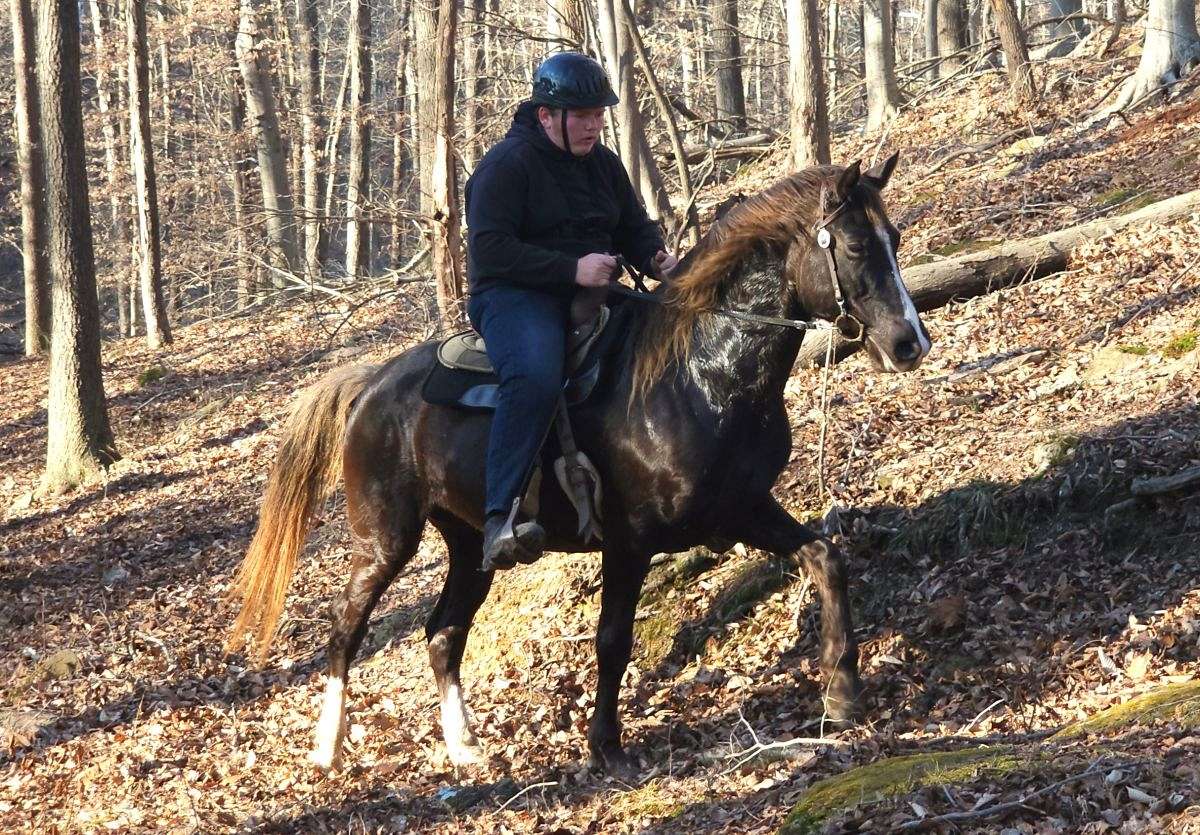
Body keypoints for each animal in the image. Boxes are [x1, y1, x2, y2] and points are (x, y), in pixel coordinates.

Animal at [226, 155, 931, 775]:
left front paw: (842, 693)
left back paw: (463, 749)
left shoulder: (743, 509)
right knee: (344, 632)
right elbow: (613, 640)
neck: (700, 373)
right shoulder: (631, 541)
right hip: (383, 541)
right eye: (856, 247)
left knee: (443, 634)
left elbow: (825, 558)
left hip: (470, 547)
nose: (909, 344)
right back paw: (328, 747)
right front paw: (605, 747)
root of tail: (371, 383)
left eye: (893, 238)